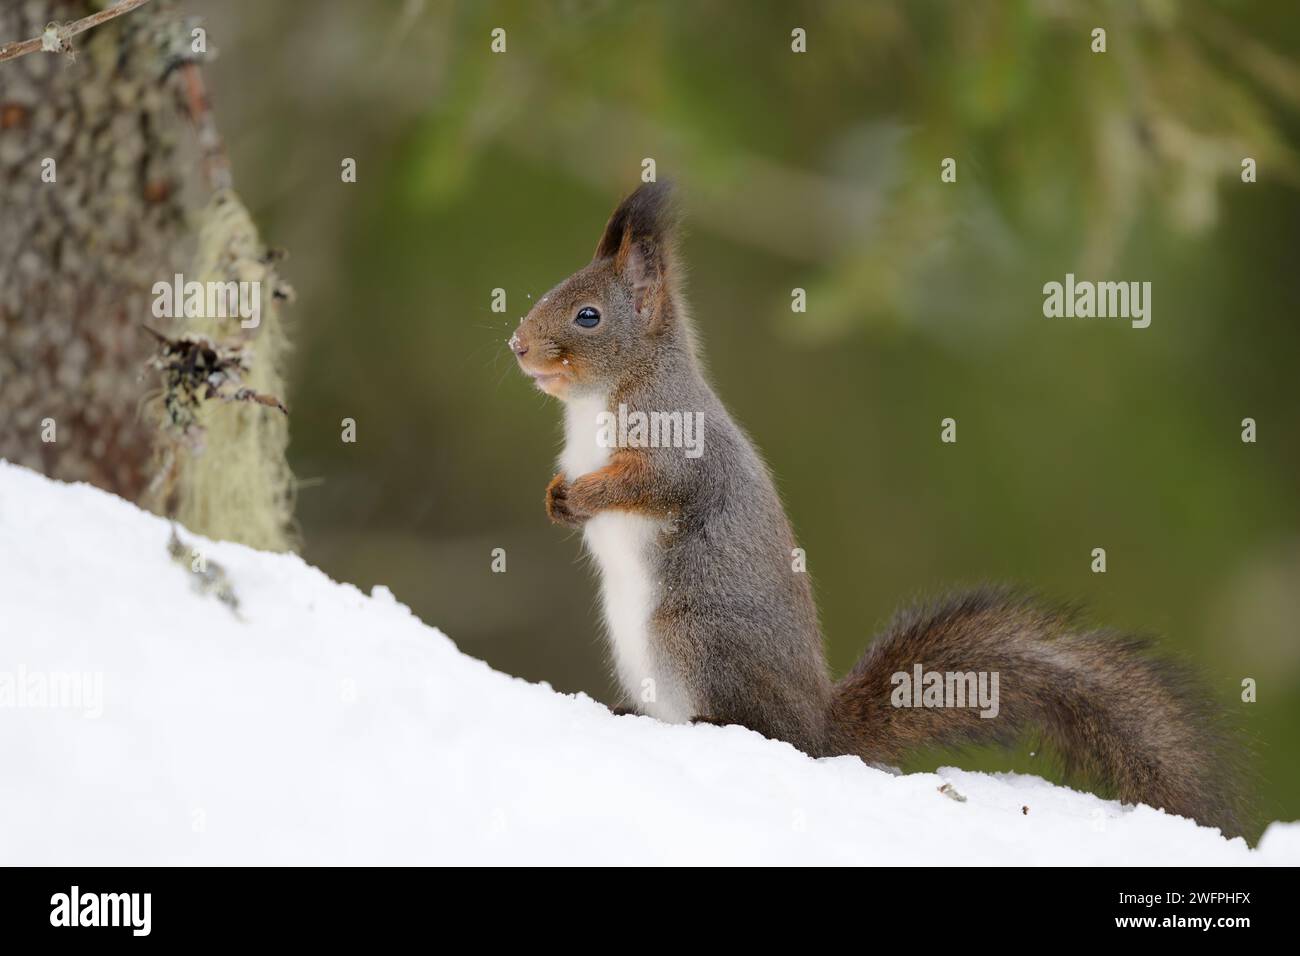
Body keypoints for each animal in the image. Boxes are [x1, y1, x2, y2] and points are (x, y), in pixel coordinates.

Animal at [509, 181, 1246, 838]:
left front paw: (584, 495)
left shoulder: (674, 444)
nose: (517, 346)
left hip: (691, 636)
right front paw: (554, 497)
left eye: (588, 316)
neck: (608, 393)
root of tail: (818, 729)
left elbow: (654, 485)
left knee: (754, 726)